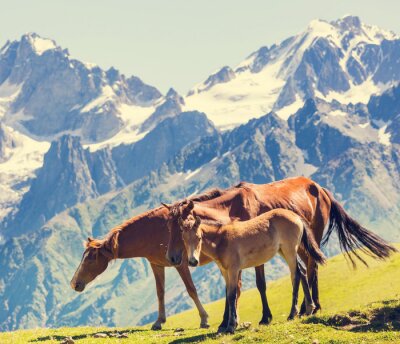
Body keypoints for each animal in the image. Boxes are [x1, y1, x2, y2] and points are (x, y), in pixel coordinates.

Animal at [177, 207, 326, 334]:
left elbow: (231, 295)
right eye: (184, 239)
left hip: (289, 250)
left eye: (199, 237)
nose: (193, 261)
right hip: (283, 251)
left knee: (295, 275)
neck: (222, 240)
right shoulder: (225, 272)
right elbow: (229, 295)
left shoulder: (233, 270)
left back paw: (292, 313)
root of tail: (295, 216)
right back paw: (309, 309)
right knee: (302, 271)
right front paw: (230, 324)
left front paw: (230, 327)